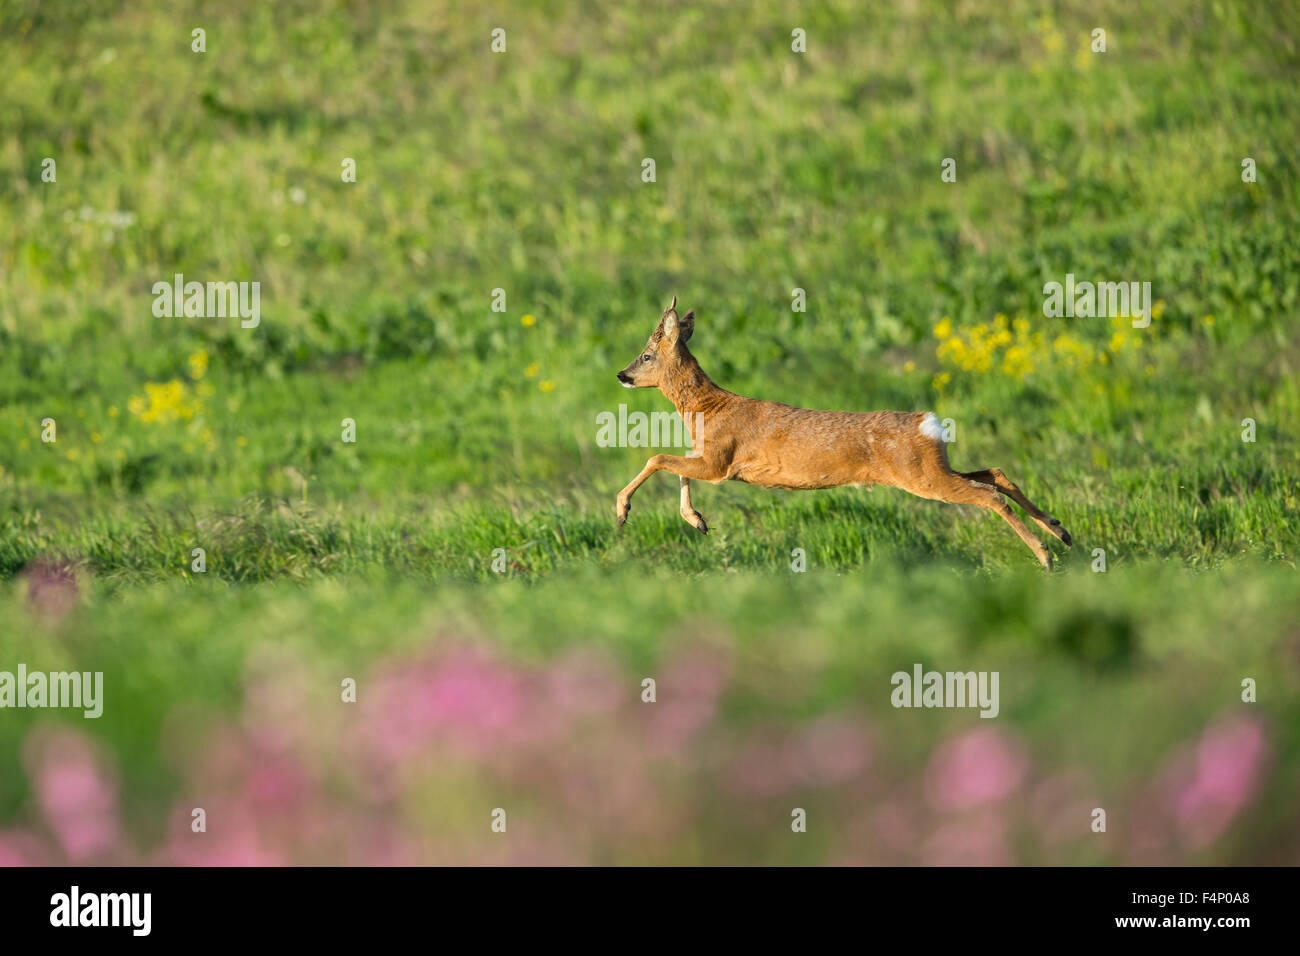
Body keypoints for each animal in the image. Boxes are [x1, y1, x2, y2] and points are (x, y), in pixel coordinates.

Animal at [614, 297, 1073, 569]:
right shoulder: (712, 459)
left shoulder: (720, 461)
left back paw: (1045, 556)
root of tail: (928, 422)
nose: (622, 375)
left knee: (987, 494)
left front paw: (622, 511)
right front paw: (697, 522)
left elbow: (658, 458)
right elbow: (677, 469)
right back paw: (1061, 532)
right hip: (933, 466)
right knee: (994, 474)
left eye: (647, 355)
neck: (706, 410)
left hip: (921, 475)